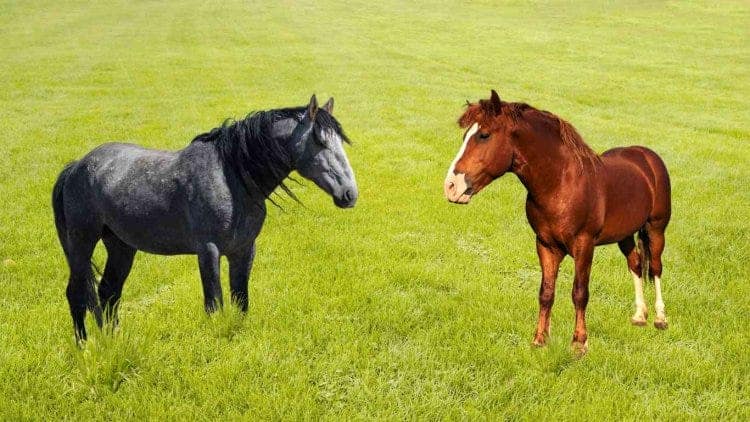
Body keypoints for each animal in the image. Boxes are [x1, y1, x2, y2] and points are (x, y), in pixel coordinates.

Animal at [52, 95, 358, 342]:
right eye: (320, 140)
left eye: (341, 141)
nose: (349, 193)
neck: (232, 177)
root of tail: (76, 167)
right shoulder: (208, 251)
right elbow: (215, 304)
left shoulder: (243, 251)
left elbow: (240, 300)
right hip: (81, 243)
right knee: (77, 293)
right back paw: (86, 347)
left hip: (121, 246)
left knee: (108, 292)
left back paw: (113, 338)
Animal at [444, 90, 671, 353]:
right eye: (465, 135)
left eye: (484, 135)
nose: (451, 187)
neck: (560, 184)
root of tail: (648, 157)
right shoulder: (546, 245)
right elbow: (546, 292)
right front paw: (540, 339)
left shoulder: (584, 245)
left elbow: (580, 292)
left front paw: (579, 343)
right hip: (624, 234)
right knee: (635, 263)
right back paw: (639, 316)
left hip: (656, 229)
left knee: (655, 268)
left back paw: (660, 319)